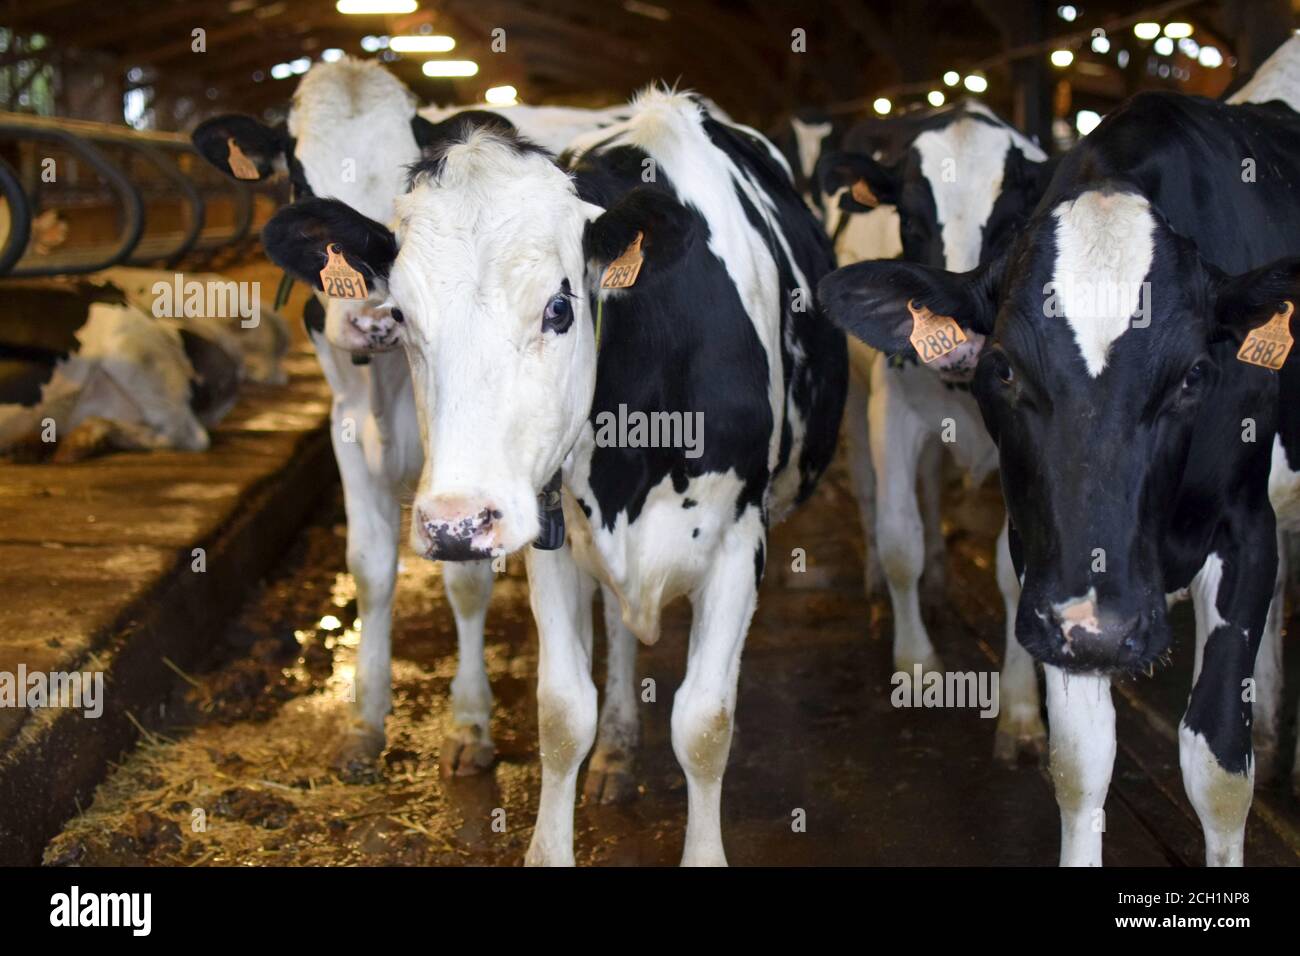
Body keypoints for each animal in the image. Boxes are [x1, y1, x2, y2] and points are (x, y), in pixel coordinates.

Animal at [191, 58, 641, 790]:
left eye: (402, 176)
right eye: (299, 174)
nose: (372, 317)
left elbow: (465, 580)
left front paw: (469, 724)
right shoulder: (346, 428)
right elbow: (369, 570)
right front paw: (364, 721)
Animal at [258, 88, 847, 865]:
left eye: (560, 307)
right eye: (403, 316)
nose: (456, 522)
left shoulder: (738, 542)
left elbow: (704, 724)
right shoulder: (552, 537)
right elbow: (563, 714)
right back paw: (618, 751)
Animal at [816, 101, 1054, 761]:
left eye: (1009, 224)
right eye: (911, 220)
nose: (953, 343)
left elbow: (1013, 570)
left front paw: (1020, 710)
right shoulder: (893, 412)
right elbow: (902, 541)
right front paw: (917, 667)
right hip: (857, 399)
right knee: (872, 494)